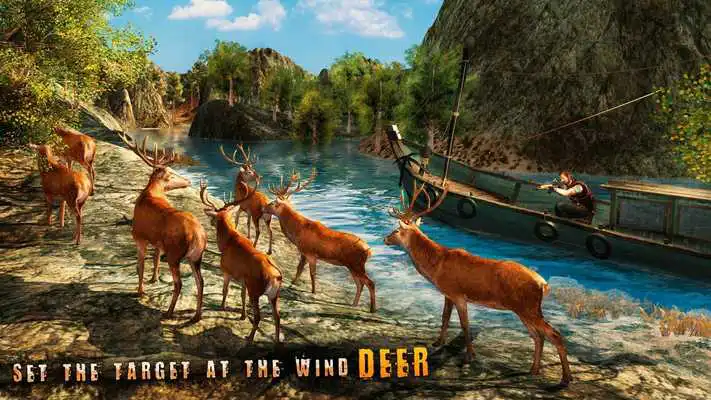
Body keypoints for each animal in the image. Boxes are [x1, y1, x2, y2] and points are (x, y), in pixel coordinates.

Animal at [117, 132, 206, 323]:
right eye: (171, 173)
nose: (188, 180)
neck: (150, 193)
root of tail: (198, 235)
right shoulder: (158, 242)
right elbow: (156, 259)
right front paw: (154, 279)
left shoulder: (139, 236)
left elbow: (141, 266)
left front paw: (140, 291)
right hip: (196, 257)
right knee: (200, 282)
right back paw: (196, 316)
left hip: (175, 253)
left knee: (179, 283)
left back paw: (168, 312)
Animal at [199, 178, 284, 344]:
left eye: (214, 216)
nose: (211, 222)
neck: (227, 242)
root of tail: (276, 276)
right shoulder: (243, 280)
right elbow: (242, 296)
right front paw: (242, 315)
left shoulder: (226, 270)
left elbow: (225, 290)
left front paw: (222, 306)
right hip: (273, 294)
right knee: (277, 317)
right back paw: (277, 342)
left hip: (256, 290)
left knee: (258, 317)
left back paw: (249, 338)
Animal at [262, 169, 376, 313]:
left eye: (272, 203)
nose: (262, 207)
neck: (297, 232)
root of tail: (370, 251)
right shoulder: (303, 252)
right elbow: (299, 269)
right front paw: (293, 283)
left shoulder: (311, 253)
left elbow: (312, 274)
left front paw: (313, 291)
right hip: (352, 266)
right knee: (360, 283)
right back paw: (354, 304)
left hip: (356, 264)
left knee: (370, 283)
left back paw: (372, 309)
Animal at [384, 182, 572, 386]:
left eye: (396, 230)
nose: (385, 239)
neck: (436, 265)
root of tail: (544, 285)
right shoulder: (447, 293)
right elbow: (445, 318)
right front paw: (438, 342)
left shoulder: (458, 294)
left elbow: (465, 325)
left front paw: (469, 356)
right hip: (524, 309)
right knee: (538, 336)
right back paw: (534, 370)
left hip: (528, 307)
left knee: (554, 334)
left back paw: (565, 378)